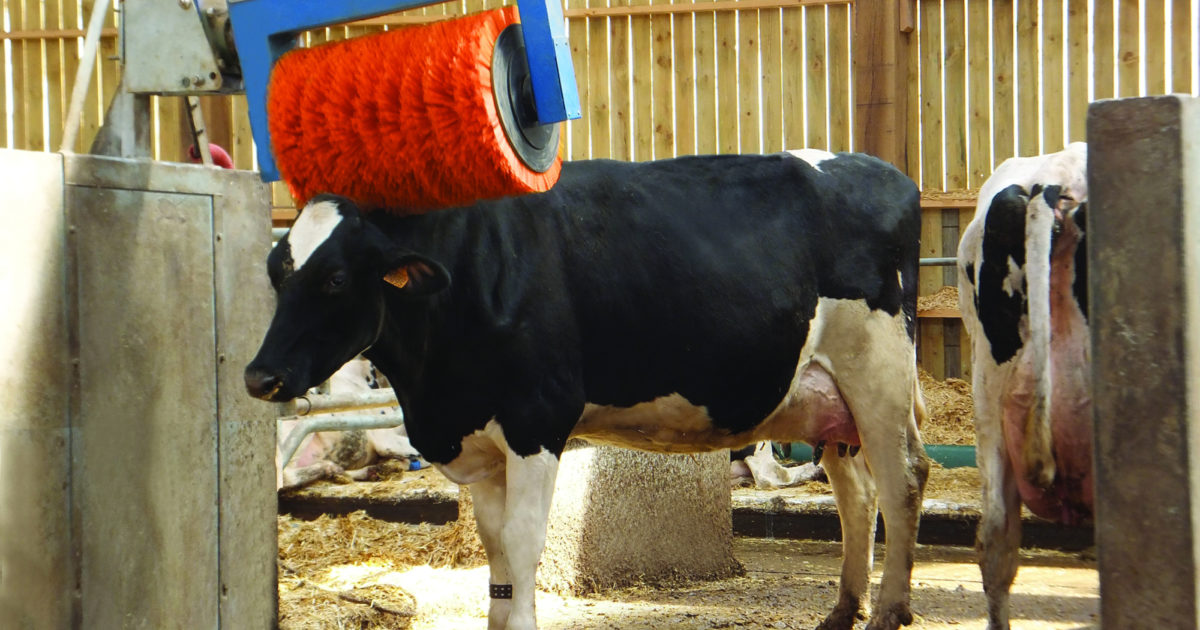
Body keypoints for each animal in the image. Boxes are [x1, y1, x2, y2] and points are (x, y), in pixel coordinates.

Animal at [244, 151, 930, 630]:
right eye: (276, 271)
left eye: (335, 277)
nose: (259, 375)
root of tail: (883, 169)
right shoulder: (481, 444)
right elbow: (497, 554)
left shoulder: (535, 421)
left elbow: (523, 545)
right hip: (828, 398)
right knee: (857, 493)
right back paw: (843, 610)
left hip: (879, 369)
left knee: (903, 479)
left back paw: (889, 611)